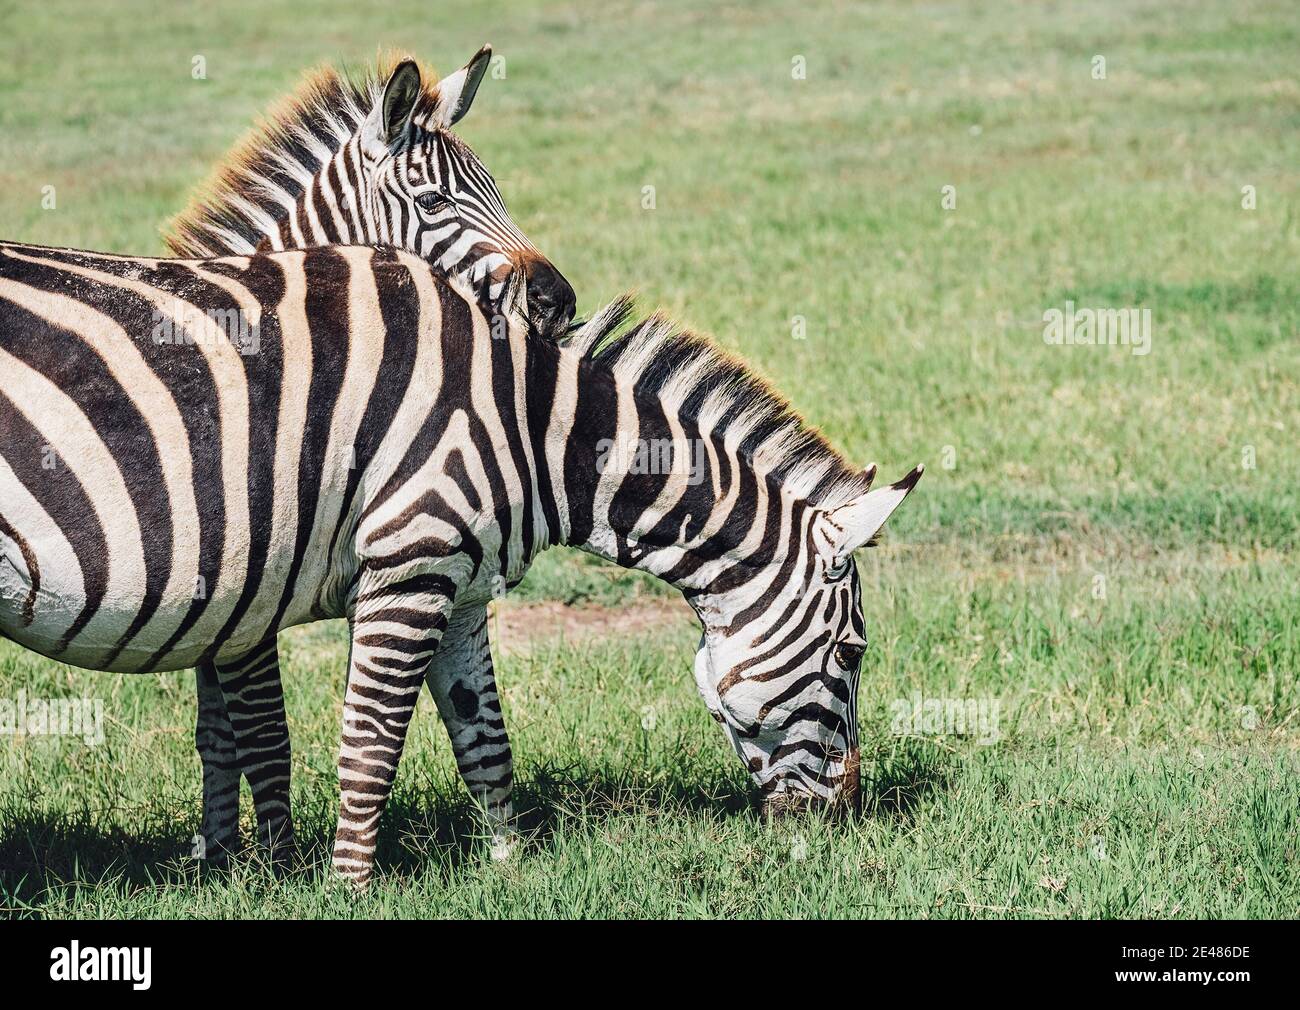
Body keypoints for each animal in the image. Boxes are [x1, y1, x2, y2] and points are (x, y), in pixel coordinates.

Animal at [0, 240, 921, 885]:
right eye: (852, 655)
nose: (844, 816)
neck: (535, 429)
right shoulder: (411, 561)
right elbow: (371, 741)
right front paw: (350, 891)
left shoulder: (464, 584)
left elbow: (484, 735)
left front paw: (509, 869)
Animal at [161, 47, 578, 859]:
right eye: (436, 201)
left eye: (496, 189)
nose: (559, 301)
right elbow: (245, 727)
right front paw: (259, 860)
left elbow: (218, 728)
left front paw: (221, 855)